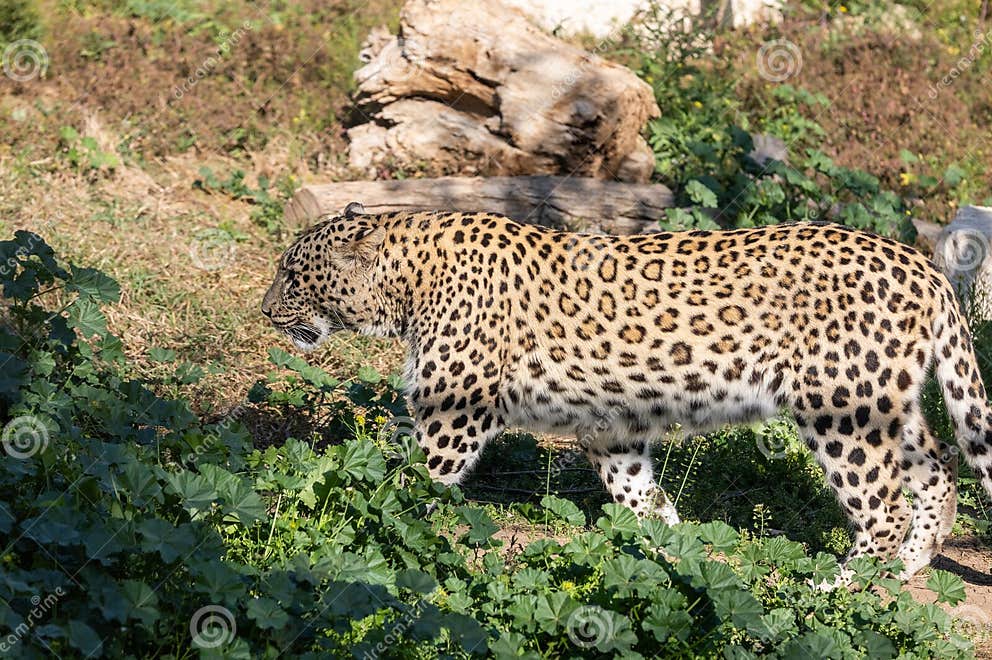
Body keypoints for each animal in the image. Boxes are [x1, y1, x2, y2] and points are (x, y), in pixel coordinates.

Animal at [261, 203, 992, 579]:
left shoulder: (452, 416)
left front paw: (344, 528)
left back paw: (841, 583)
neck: (408, 284)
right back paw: (911, 565)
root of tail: (920, 263)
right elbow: (640, 494)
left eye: (293, 275)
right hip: (885, 404)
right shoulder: (609, 426)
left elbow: (399, 483)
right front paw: (675, 551)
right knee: (939, 463)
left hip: (843, 411)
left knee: (883, 503)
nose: (265, 310)